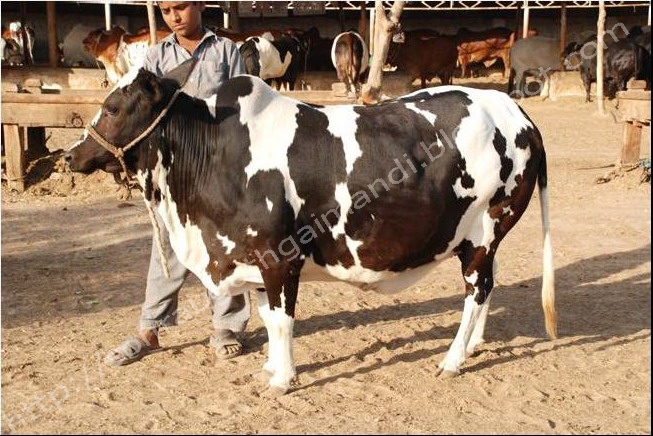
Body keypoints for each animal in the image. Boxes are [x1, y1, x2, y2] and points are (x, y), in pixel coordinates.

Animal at [65, 59, 557, 396]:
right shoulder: (251, 261)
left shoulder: (279, 257)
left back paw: (453, 359)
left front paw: (282, 379)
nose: (71, 154)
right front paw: (270, 367)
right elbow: (267, 317)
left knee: (477, 289)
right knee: (487, 287)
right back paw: (473, 345)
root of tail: (518, 112)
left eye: (112, 107)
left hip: (487, 227)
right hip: (477, 239)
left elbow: (283, 320)